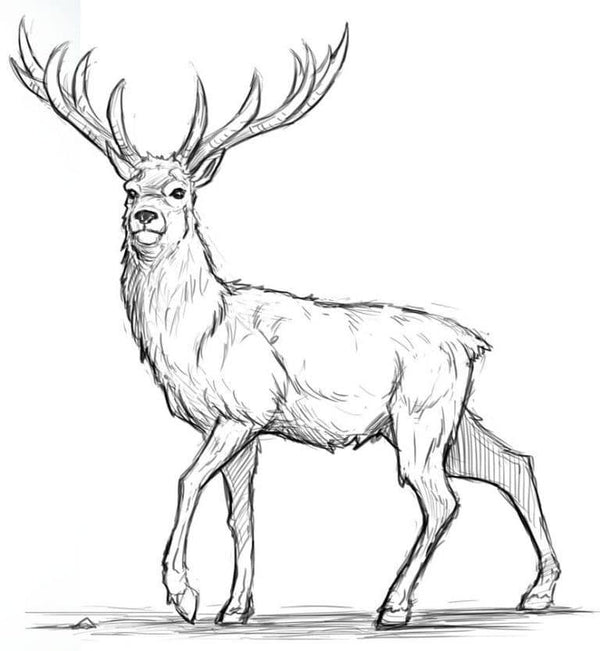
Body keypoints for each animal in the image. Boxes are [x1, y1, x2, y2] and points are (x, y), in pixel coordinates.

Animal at [11, 19, 561, 629]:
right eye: (129, 189)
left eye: (180, 191)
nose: (145, 217)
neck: (197, 335)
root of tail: (472, 342)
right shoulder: (236, 428)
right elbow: (240, 513)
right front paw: (234, 607)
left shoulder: (241, 410)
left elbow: (186, 480)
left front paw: (184, 594)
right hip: (449, 419)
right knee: (514, 463)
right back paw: (537, 591)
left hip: (421, 415)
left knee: (443, 499)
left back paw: (394, 606)